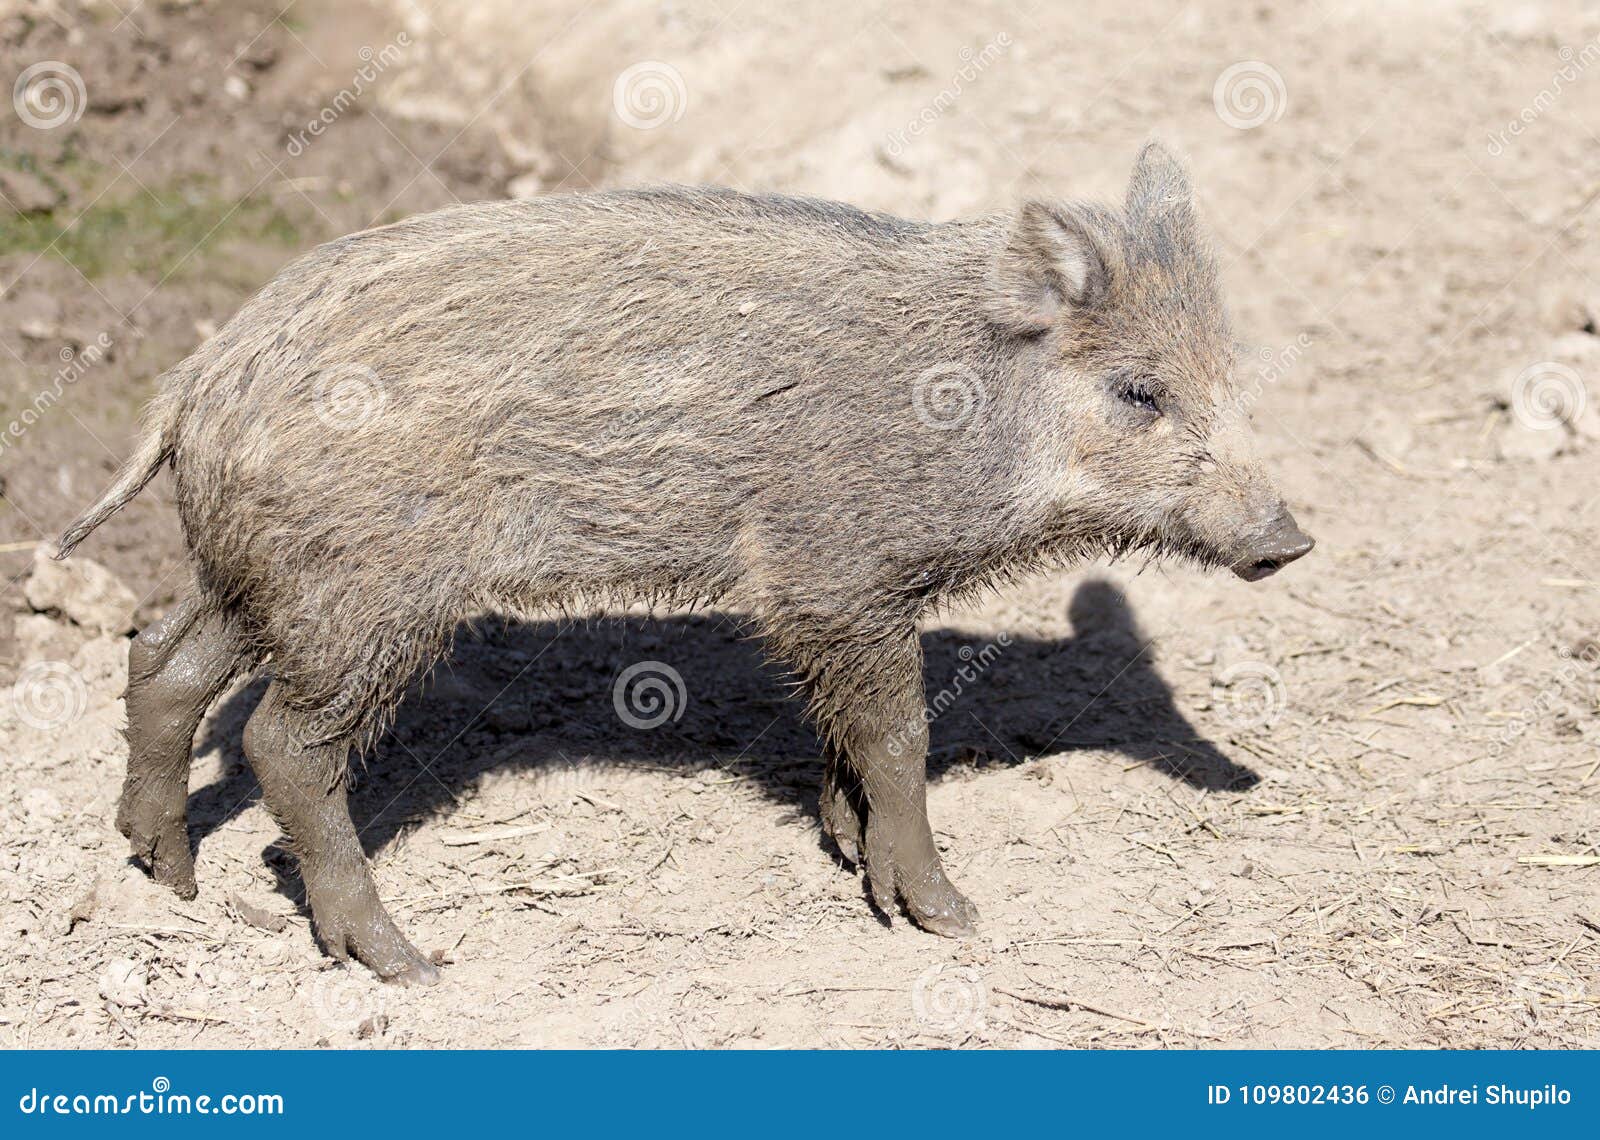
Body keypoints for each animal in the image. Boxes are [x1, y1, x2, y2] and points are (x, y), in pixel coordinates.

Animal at [58, 142, 1312, 983]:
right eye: (1139, 392)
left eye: (1229, 370)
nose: (1289, 539)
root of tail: (196, 382)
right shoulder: (833, 573)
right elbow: (900, 737)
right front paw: (945, 916)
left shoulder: (840, 601)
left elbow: (843, 739)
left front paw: (847, 851)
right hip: (365, 598)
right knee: (282, 743)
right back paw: (404, 961)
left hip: (262, 583)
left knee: (162, 661)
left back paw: (165, 878)